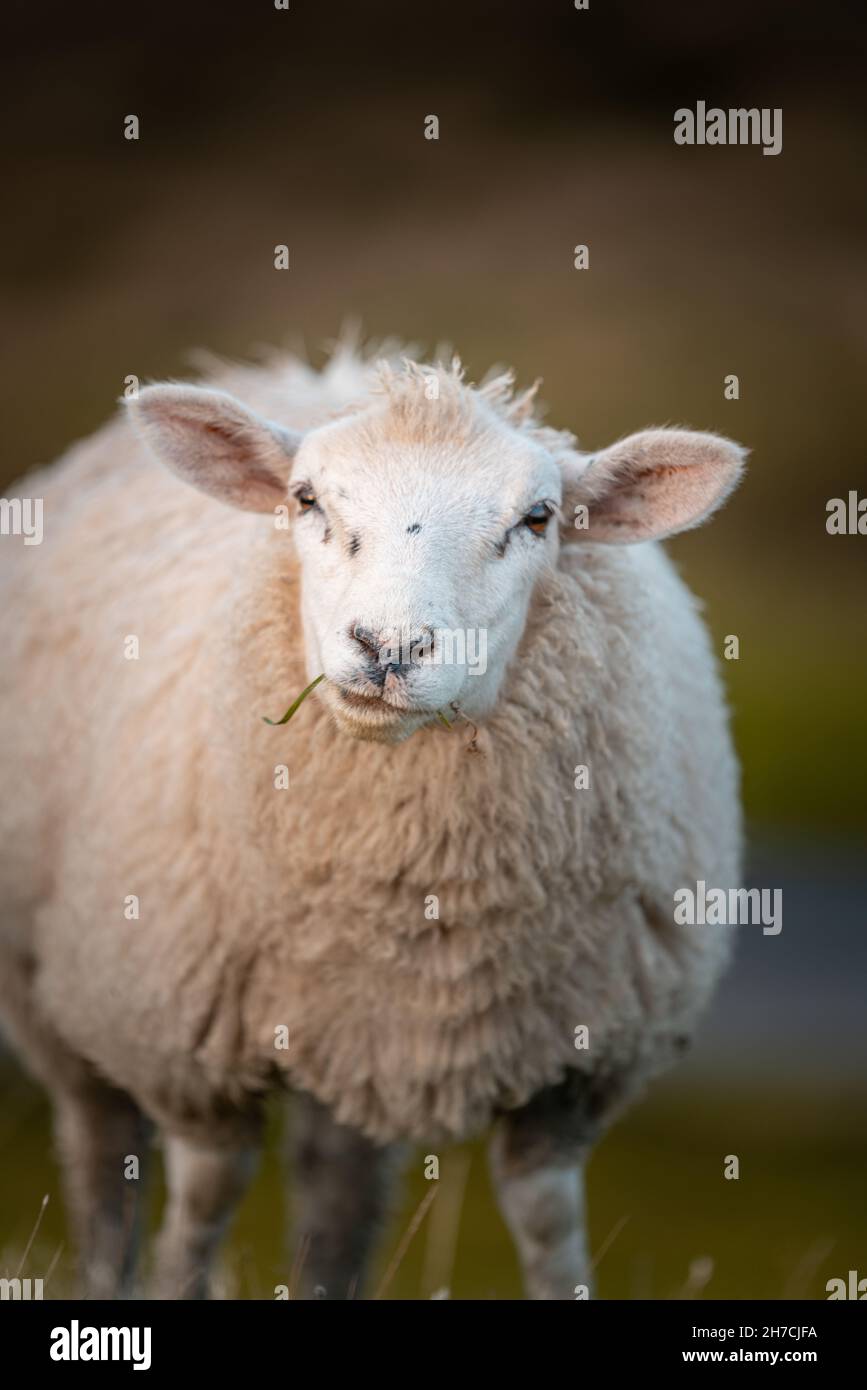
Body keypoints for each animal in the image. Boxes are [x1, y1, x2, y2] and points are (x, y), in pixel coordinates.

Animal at [0, 343, 745, 1300]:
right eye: (305, 499)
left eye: (539, 518)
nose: (387, 648)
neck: (403, 883)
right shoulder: (190, 1058)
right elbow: (201, 1207)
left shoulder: (573, 1079)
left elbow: (547, 1227)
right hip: (52, 985)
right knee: (102, 1158)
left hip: (351, 1031)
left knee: (336, 1186)